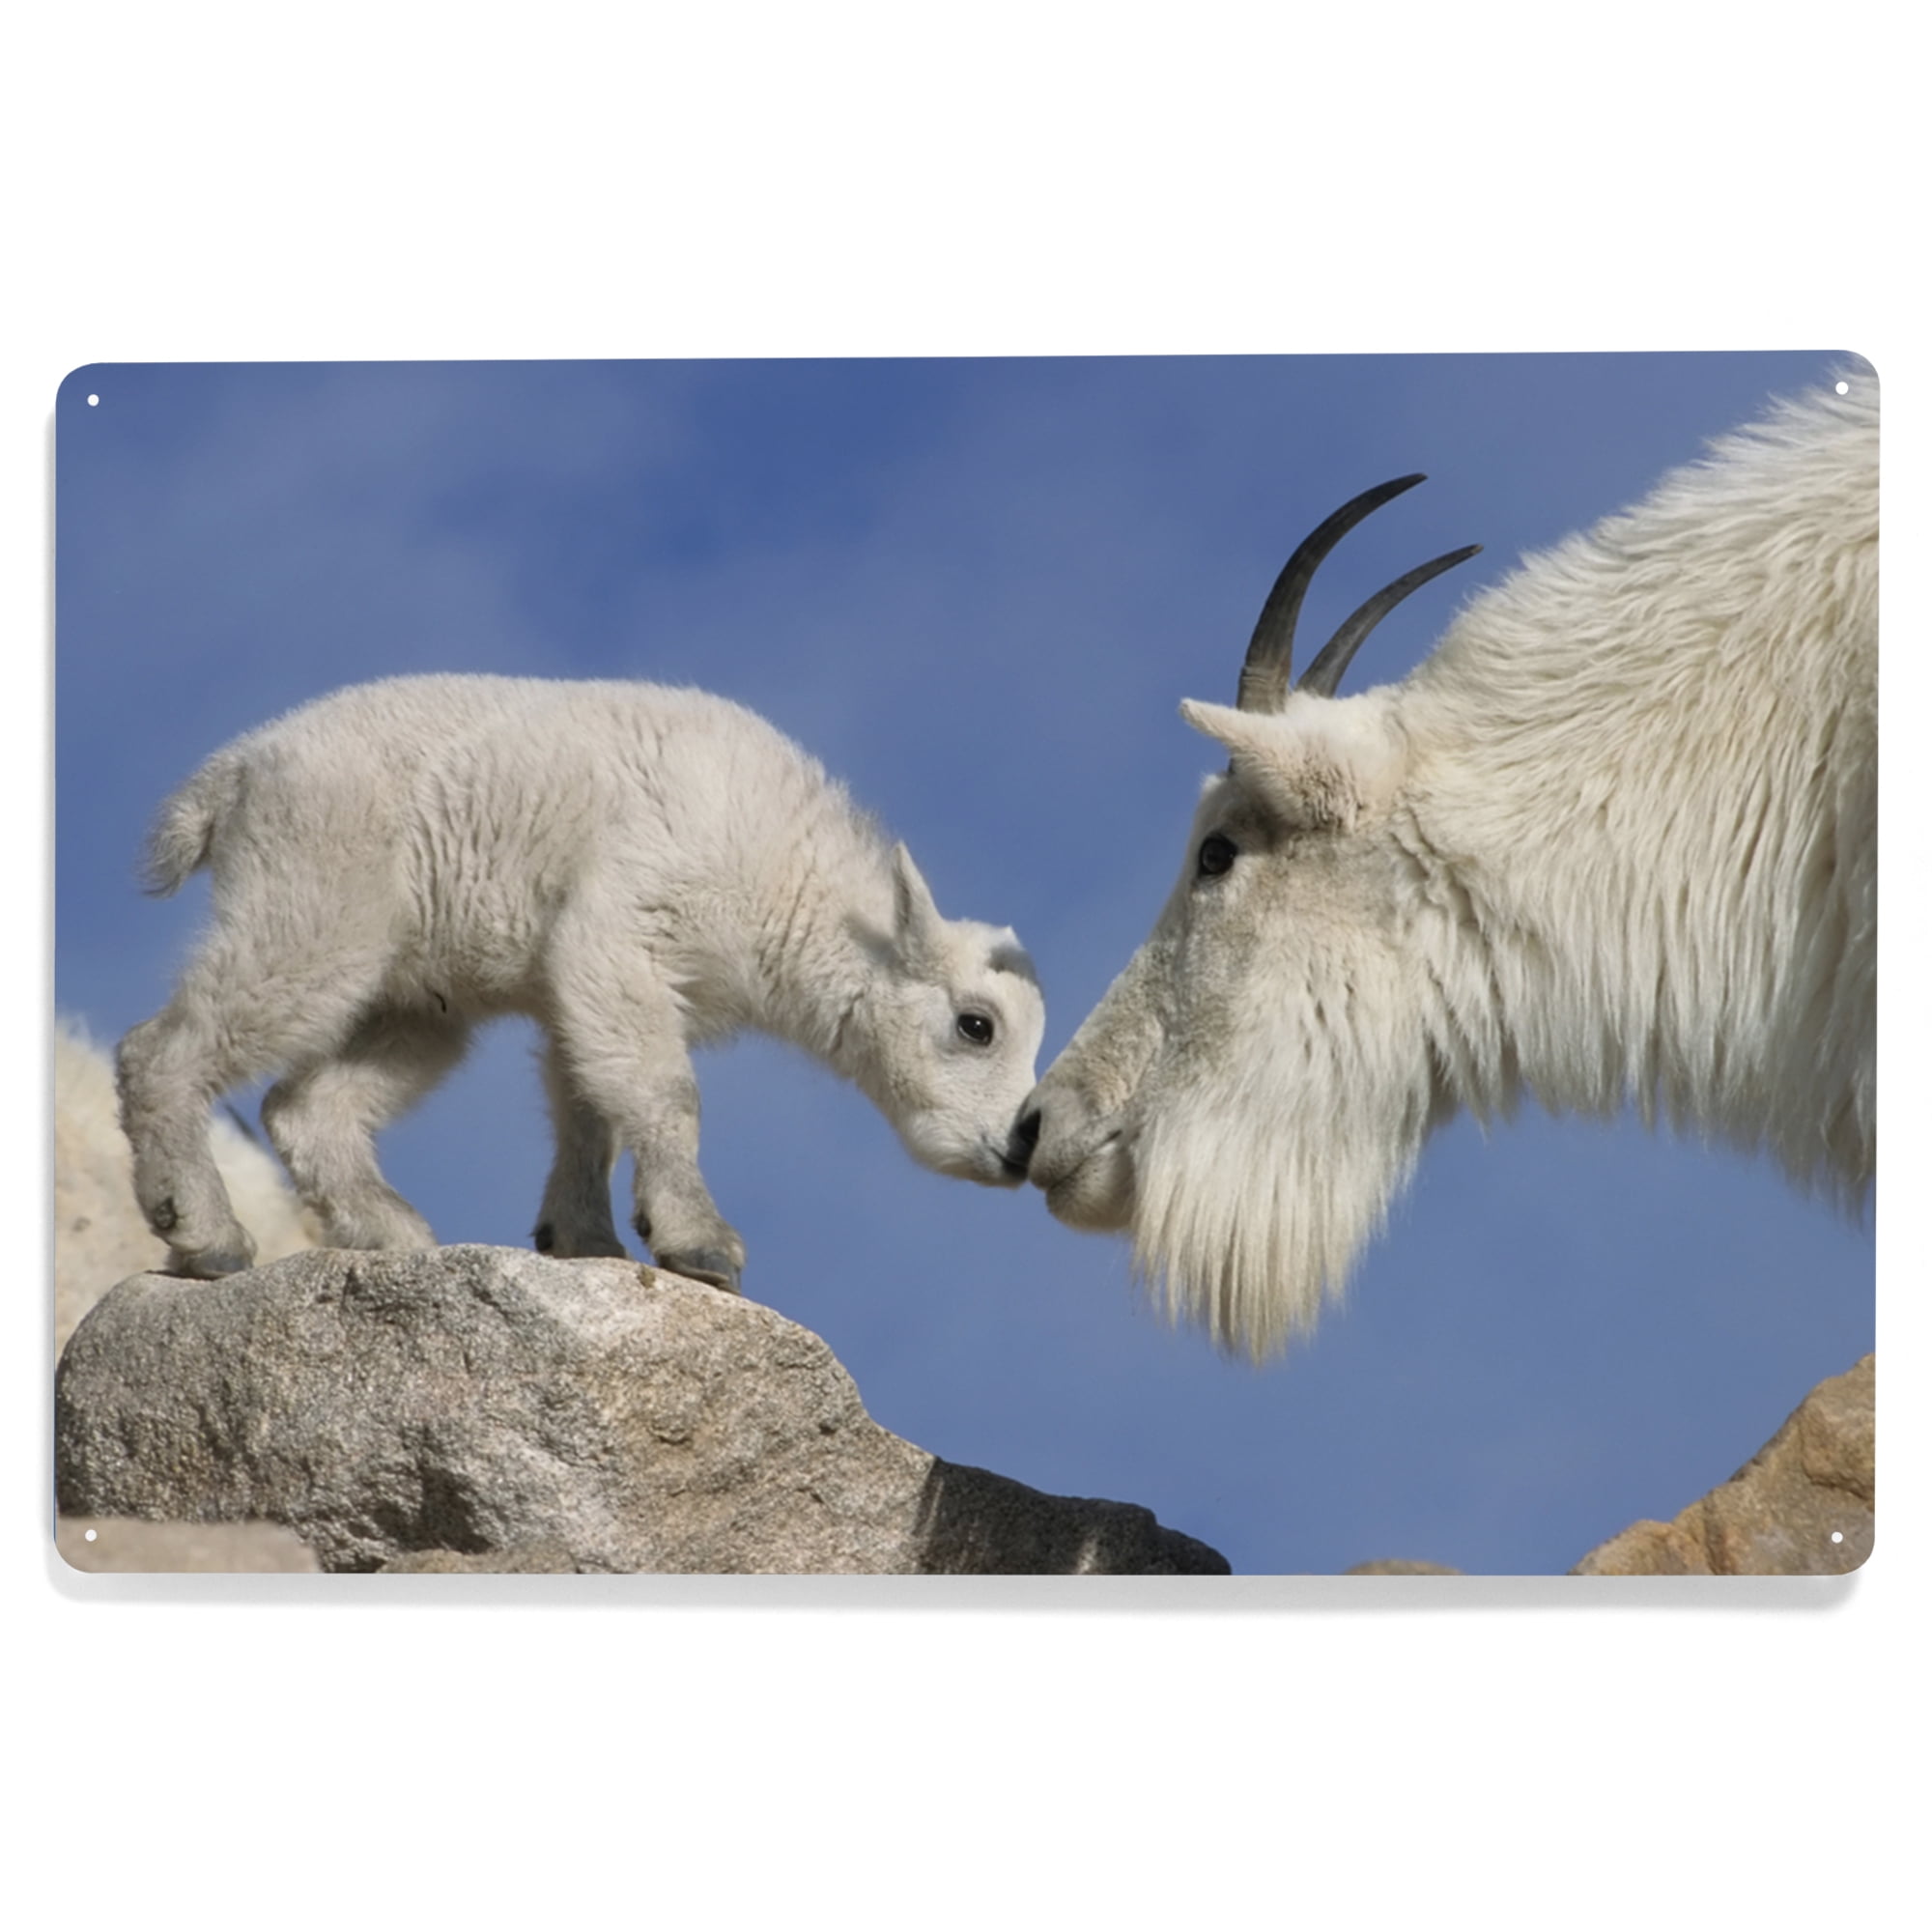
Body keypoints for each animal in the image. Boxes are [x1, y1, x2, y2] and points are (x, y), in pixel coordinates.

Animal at [117, 675, 1045, 1291]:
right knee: (166, 1045)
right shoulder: (626, 929)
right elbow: (664, 1091)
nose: (1018, 1148)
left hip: (416, 993)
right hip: (316, 898)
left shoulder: (583, 978)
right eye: (978, 1025)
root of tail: (232, 774)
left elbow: (589, 1103)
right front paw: (700, 1243)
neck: (794, 885)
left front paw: (583, 1238)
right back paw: (203, 1230)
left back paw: (391, 1230)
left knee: (304, 1103)